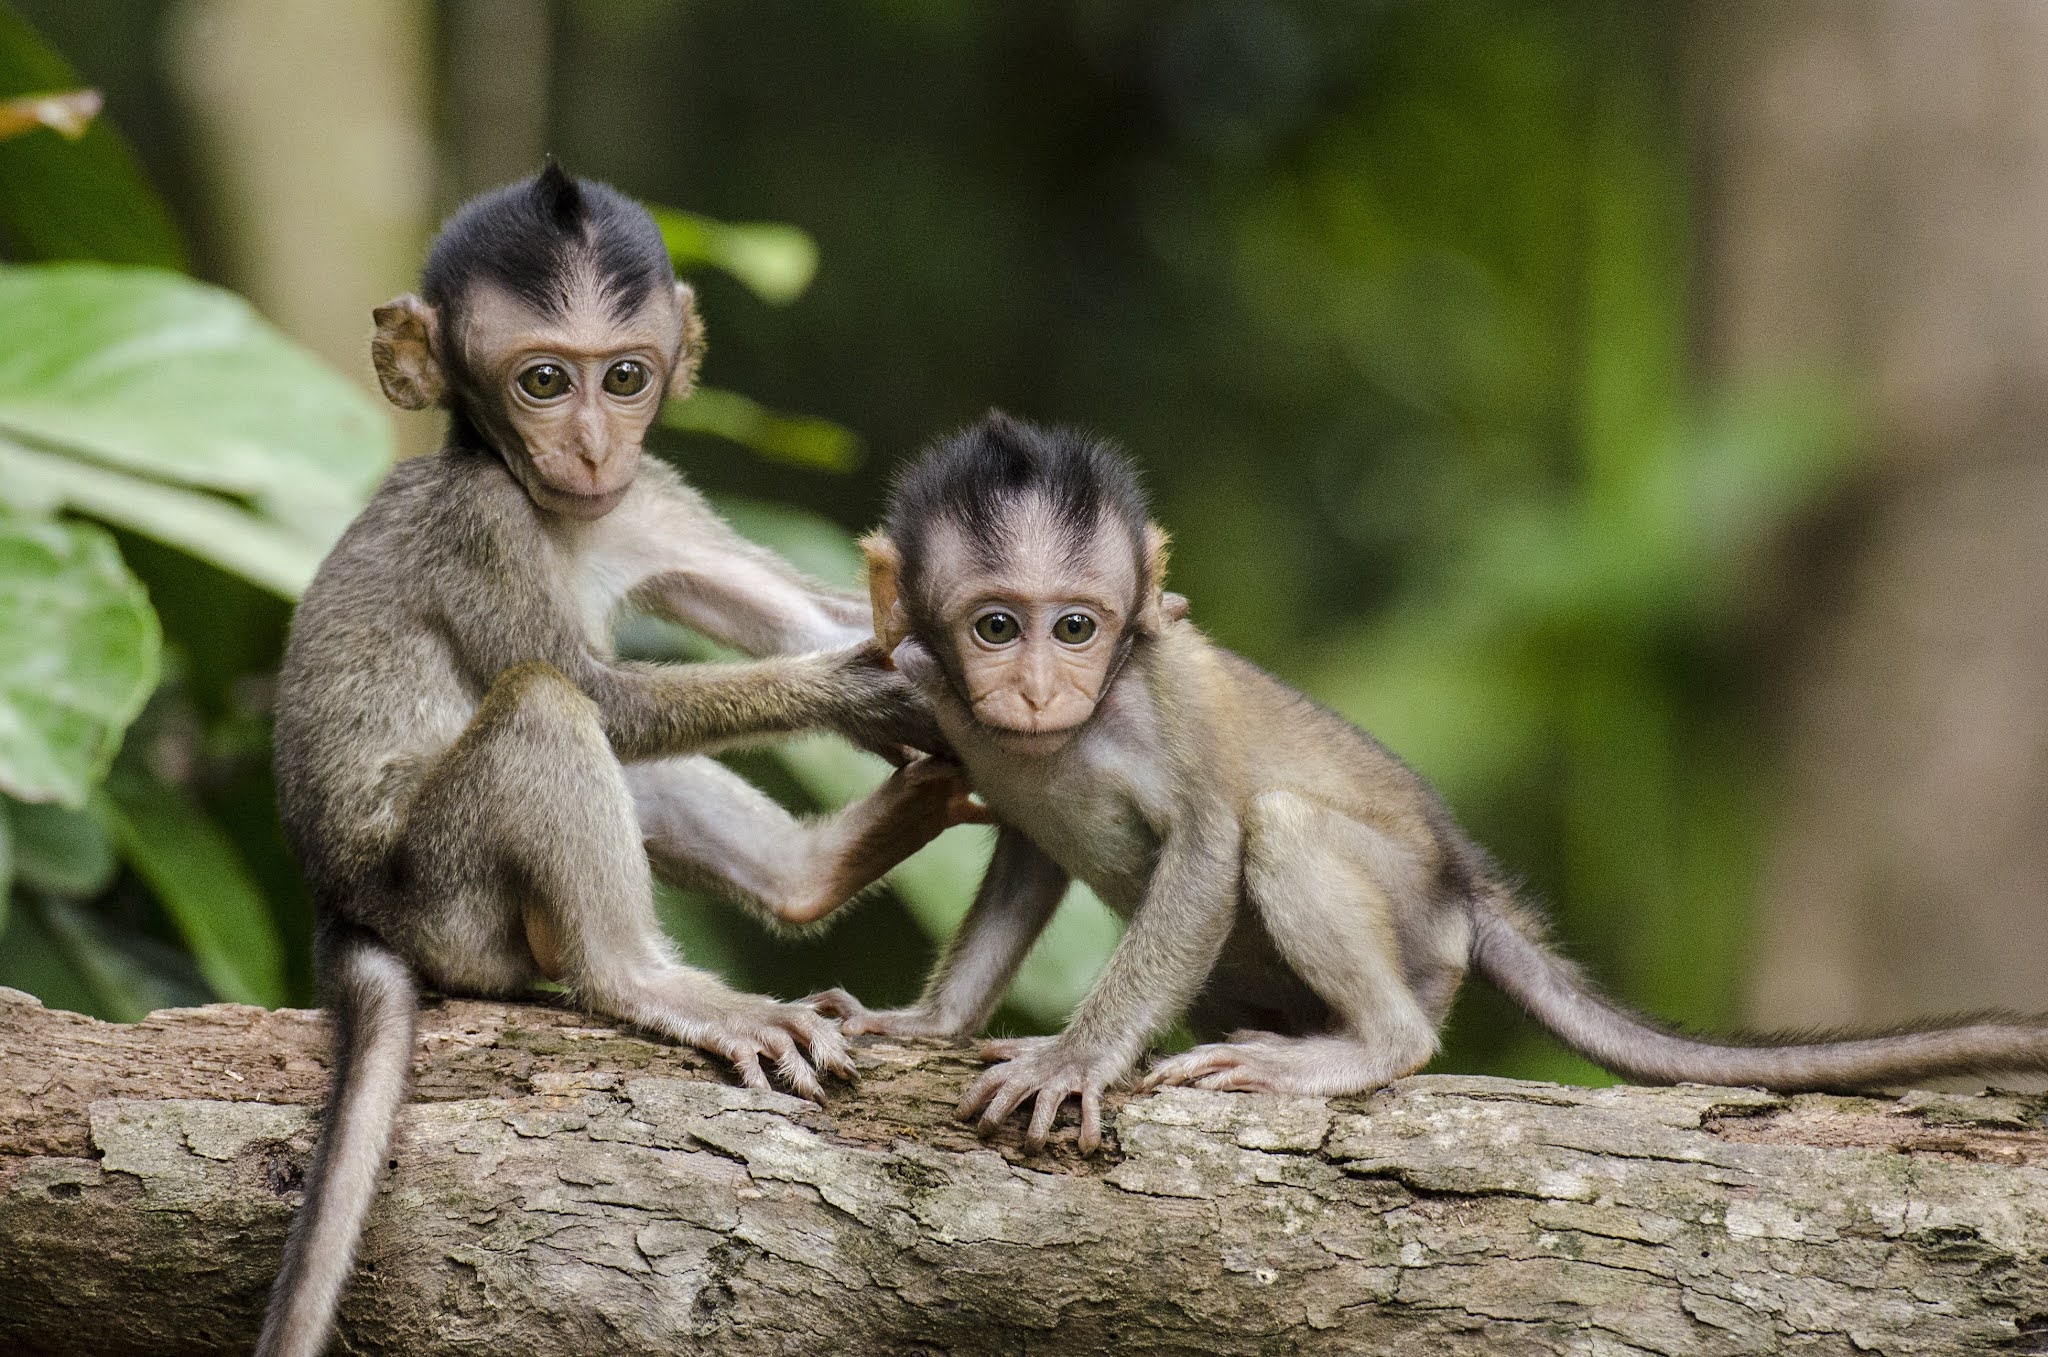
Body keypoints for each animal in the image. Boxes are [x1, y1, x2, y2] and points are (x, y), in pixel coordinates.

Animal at [256, 164, 977, 1357]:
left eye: (625, 375)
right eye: (543, 380)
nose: (593, 446)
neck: (559, 513)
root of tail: (342, 906)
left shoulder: (651, 497)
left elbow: (796, 615)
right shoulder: (481, 521)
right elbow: (596, 694)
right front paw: (866, 689)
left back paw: (811, 872)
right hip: (446, 897)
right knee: (547, 708)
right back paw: (644, 979)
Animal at [811, 411, 2048, 1155]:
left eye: (1075, 626)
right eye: (996, 626)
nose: (1034, 688)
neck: (1056, 738)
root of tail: (1464, 886)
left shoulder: (1159, 694)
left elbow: (1209, 845)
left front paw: (1074, 1057)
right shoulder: (944, 704)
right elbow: (1024, 855)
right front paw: (925, 1021)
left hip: (1416, 928)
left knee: (1284, 829)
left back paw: (1370, 1046)